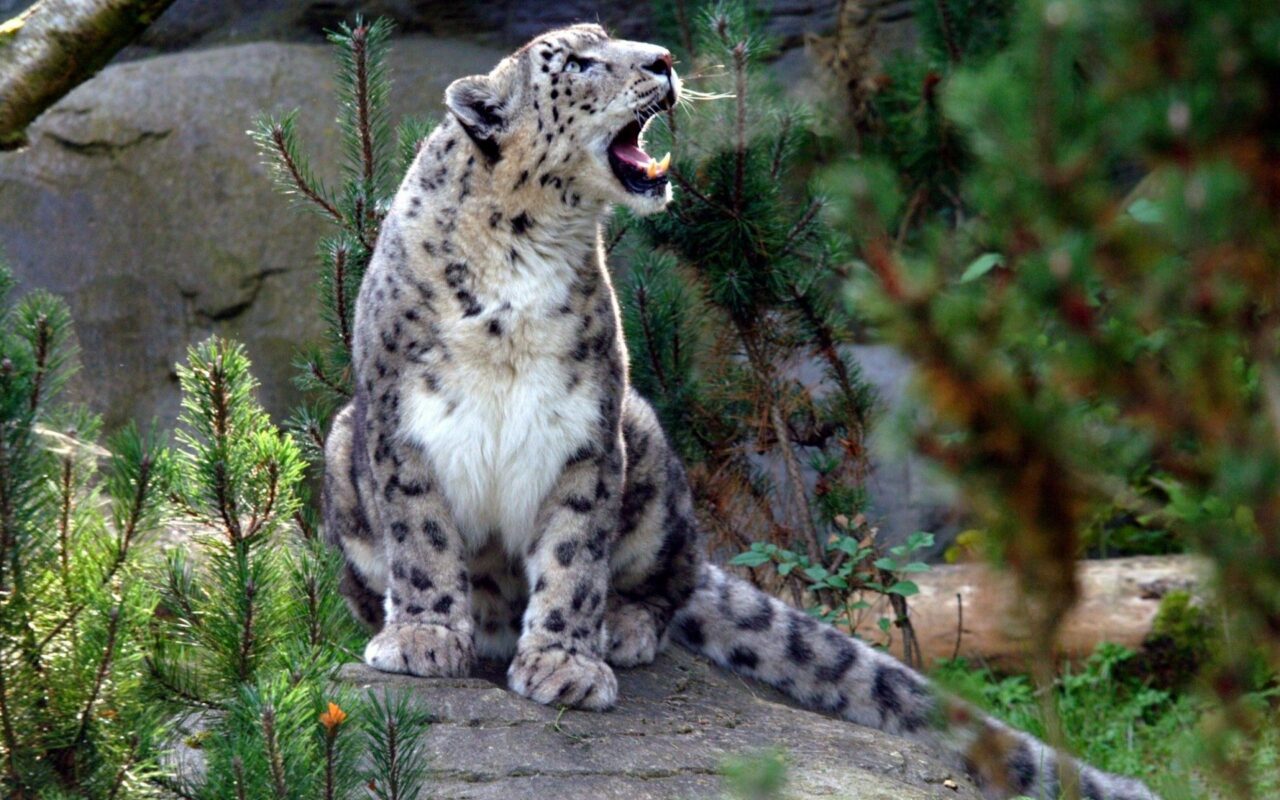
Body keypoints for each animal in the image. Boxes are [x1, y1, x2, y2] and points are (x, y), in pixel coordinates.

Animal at [321, 22, 1160, 800]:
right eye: (580, 62)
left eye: (611, 44)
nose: (661, 59)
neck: (526, 256)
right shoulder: (399, 426)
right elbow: (424, 538)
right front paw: (426, 636)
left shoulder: (587, 432)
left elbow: (574, 556)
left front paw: (564, 661)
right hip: (341, 446)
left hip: (646, 444)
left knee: (679, 571)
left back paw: (623, 625)